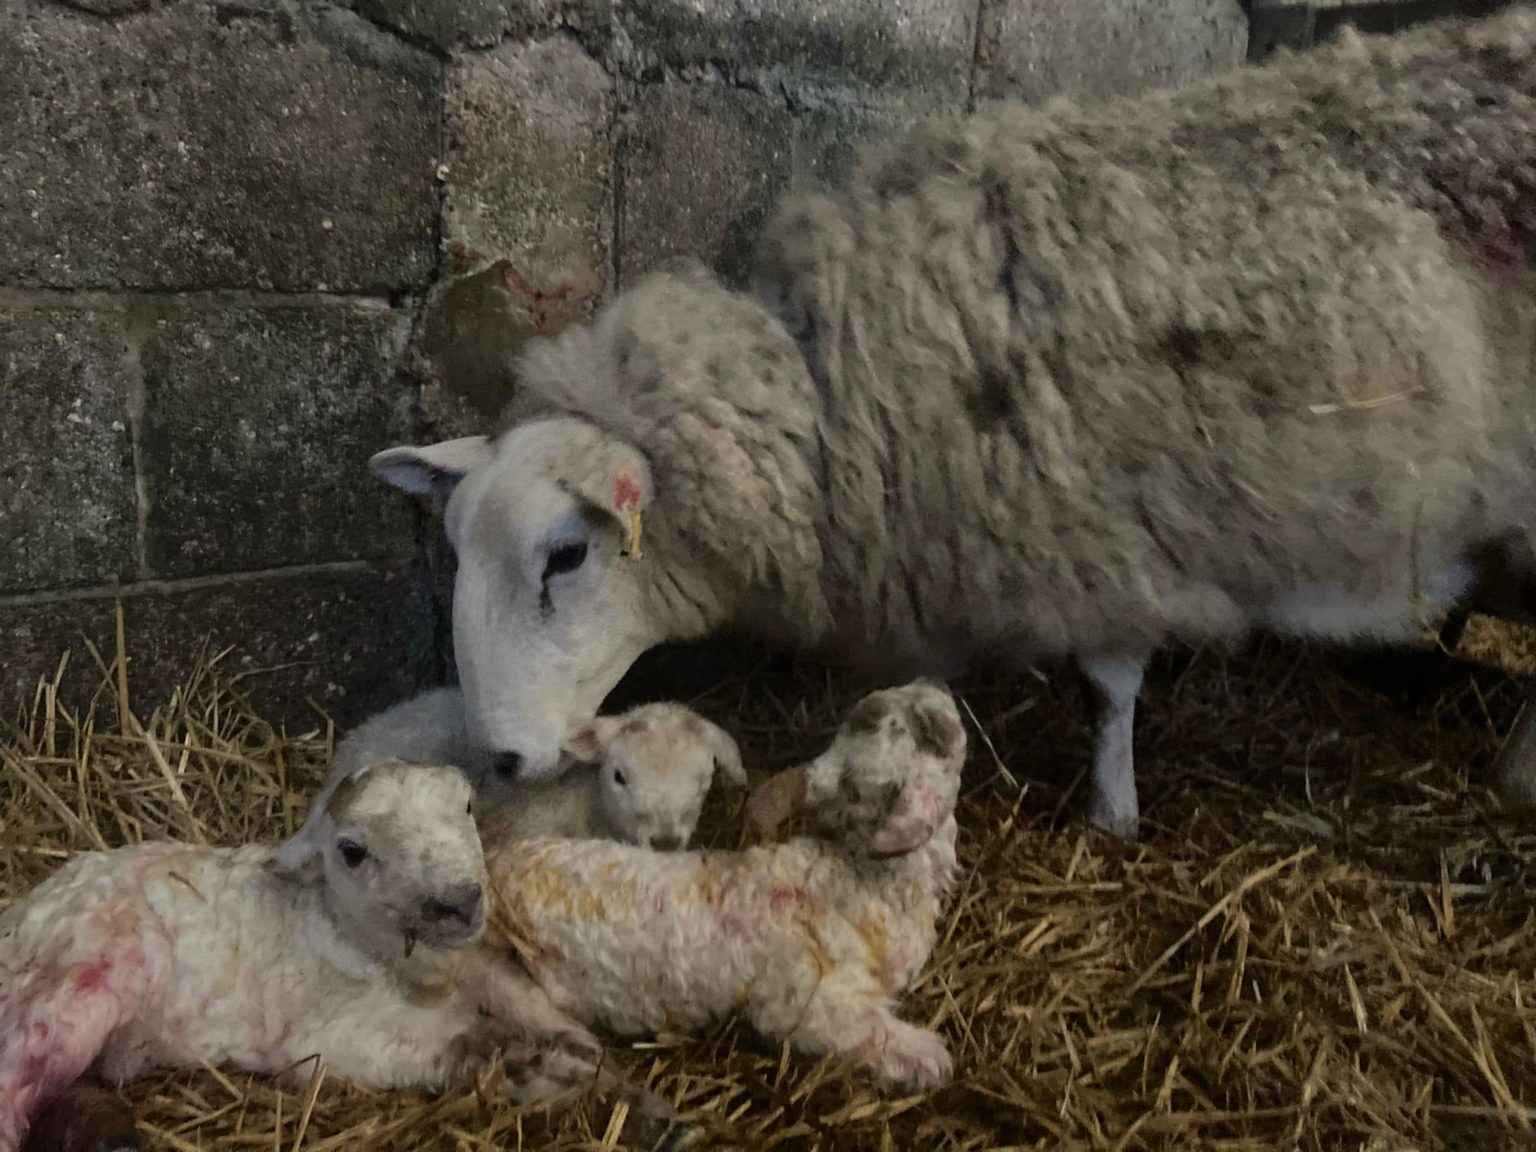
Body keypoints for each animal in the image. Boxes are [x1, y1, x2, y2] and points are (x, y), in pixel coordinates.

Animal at [0, 760, 606, 1152]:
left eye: (467, 806)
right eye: (352, 851)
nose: (457, 903)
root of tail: (20, 914)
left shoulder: (473, 966)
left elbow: (519, 993)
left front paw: (577, 1046)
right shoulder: (321, 1042)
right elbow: (447, 1048)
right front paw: (530, 1062)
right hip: (72, 989)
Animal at [367, 4, 1536, 840]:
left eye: (566, 557)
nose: (499, 762)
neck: (839, 387)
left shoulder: (1098, 522)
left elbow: (1113, 683)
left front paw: (1112, 811)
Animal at [474, 679, 965, 1091]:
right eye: (928, 730)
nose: (938, 682)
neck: (854, 880)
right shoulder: (806, 1003)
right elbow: (865, 1032)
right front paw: (930, 1058)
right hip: (504, 979)